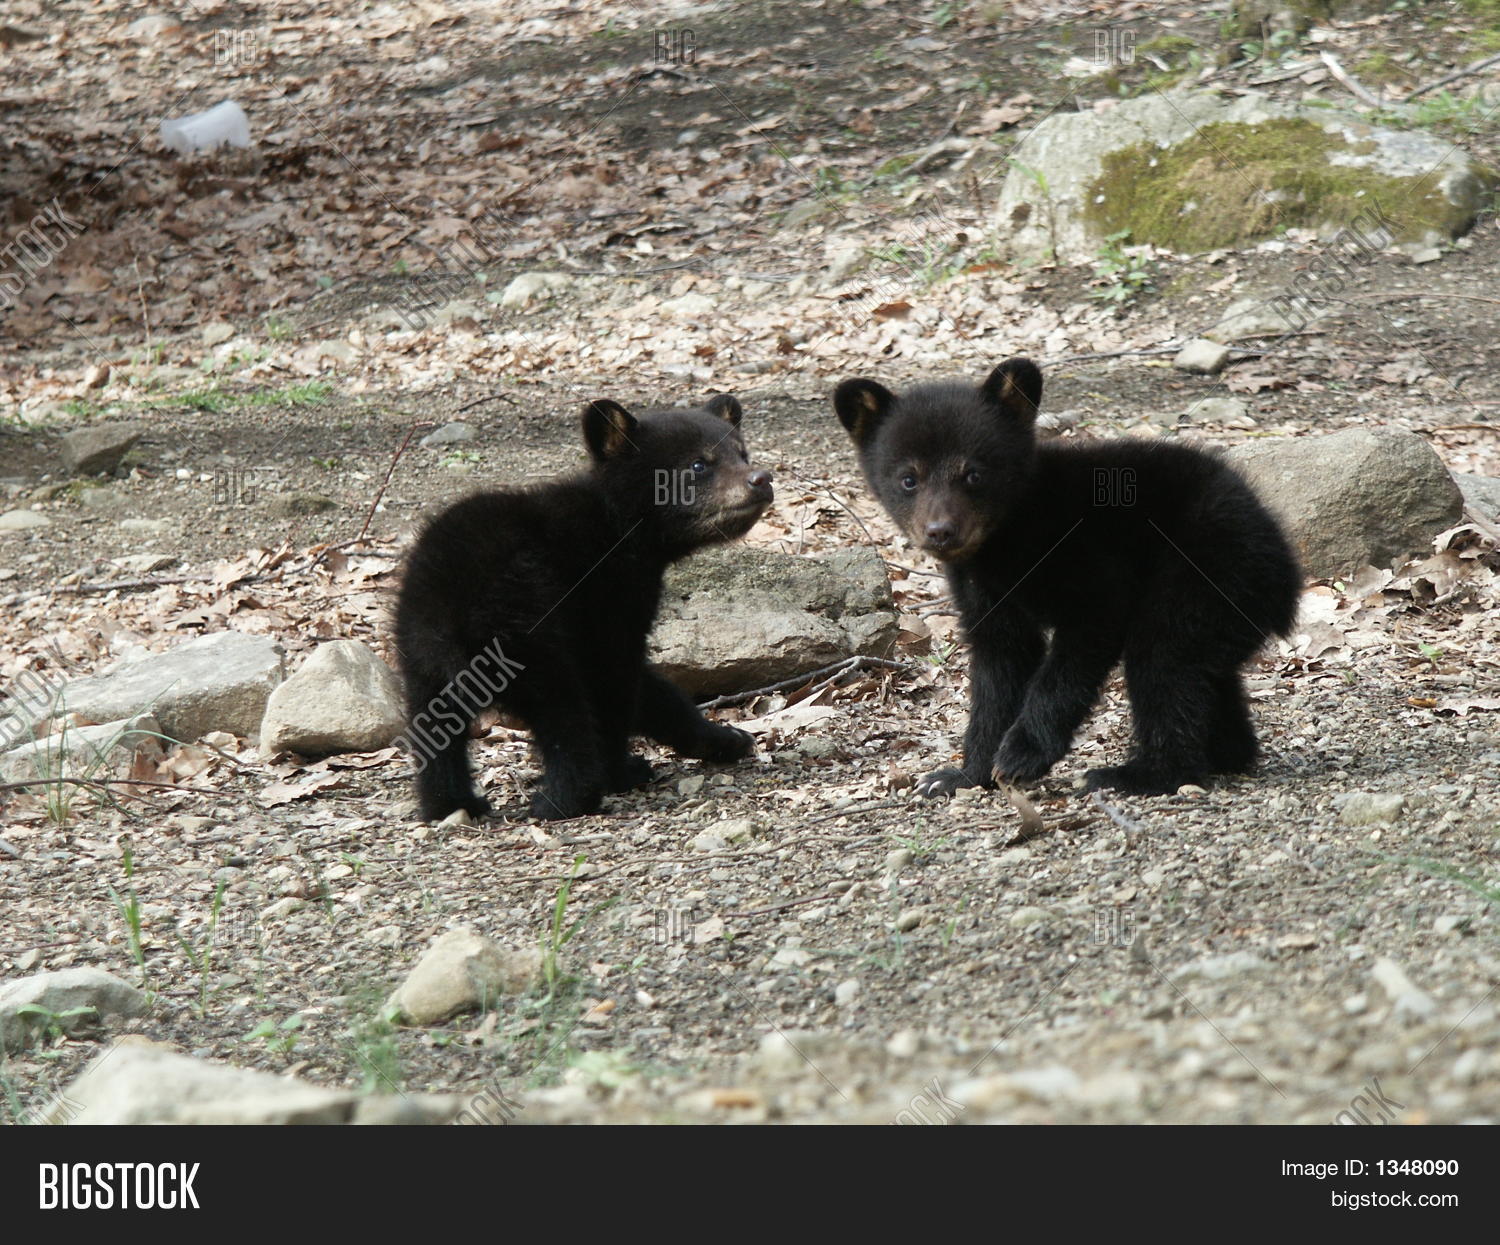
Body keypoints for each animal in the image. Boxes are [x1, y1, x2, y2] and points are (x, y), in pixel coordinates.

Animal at [393, 392, 774, 822]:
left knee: (434, 723)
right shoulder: (607, 593)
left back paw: (450, 803)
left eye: (742, 452)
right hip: (520, 628)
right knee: (561, 708)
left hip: (417, 653)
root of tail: (449, 606)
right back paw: (564, 798)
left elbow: (650, 687)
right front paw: (623, 770)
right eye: (698, 464)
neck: (619, 527)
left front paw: (727, 737)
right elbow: (615, 678)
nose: (761, 479)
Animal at [834, 357, 1301, 797]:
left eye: (974, 473)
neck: (1009, 537)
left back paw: (1138, 774)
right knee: (1207, 672)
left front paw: (1020, 754)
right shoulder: (983, 589)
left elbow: (1083, 640)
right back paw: (1229, 754)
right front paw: (960, 775)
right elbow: (1000, 664)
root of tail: (1287, 571)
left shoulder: (1086, 555)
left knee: (1164, 658)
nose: (941, 531)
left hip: (1208, 566)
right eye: (908, 479)